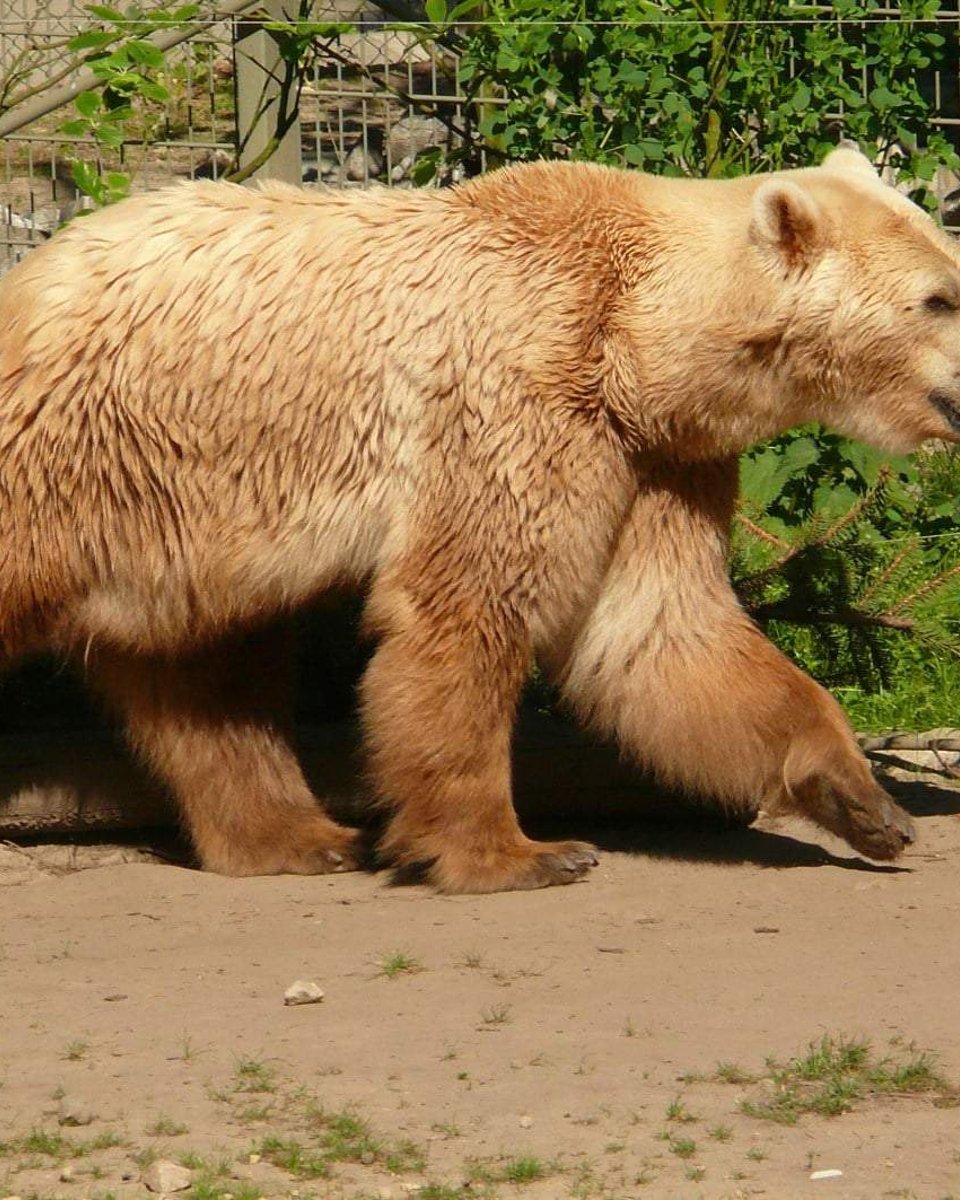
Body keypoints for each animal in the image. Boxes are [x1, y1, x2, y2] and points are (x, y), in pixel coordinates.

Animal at [1, 147, 959, 893]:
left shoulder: (657, 457)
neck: (643, 340)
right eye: (938, 298)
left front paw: (867, 802)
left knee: (206, 678)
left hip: (176, 521)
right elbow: (469, 603)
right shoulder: (521, 392)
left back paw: (301, 837)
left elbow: (658, 628)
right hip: (68, 456)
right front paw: (524, 852)